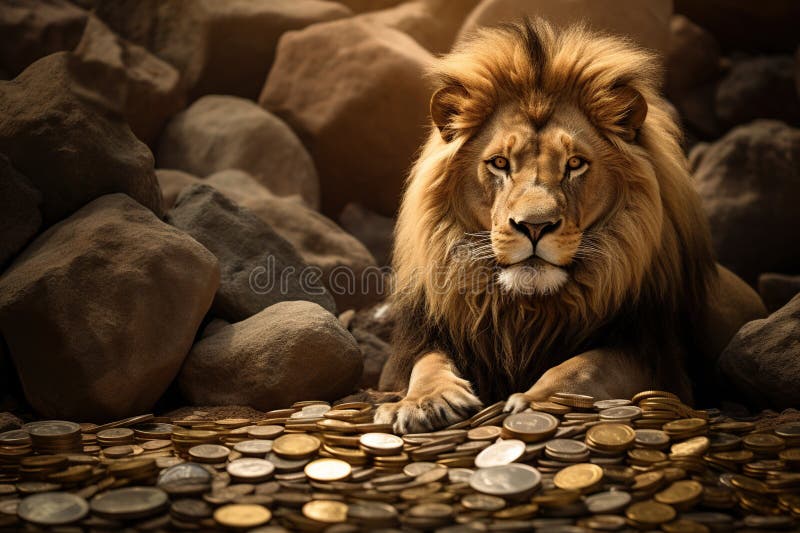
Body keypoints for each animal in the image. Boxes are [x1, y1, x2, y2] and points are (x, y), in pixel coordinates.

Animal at [375, 19, 766, 433]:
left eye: (575, 164)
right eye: (499, 163)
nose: (534, 226)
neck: (526, 311)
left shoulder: (650, 353)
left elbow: (582, 367)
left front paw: (535, 401)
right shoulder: (425, 341)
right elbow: (426, 363)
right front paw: (426, 401)